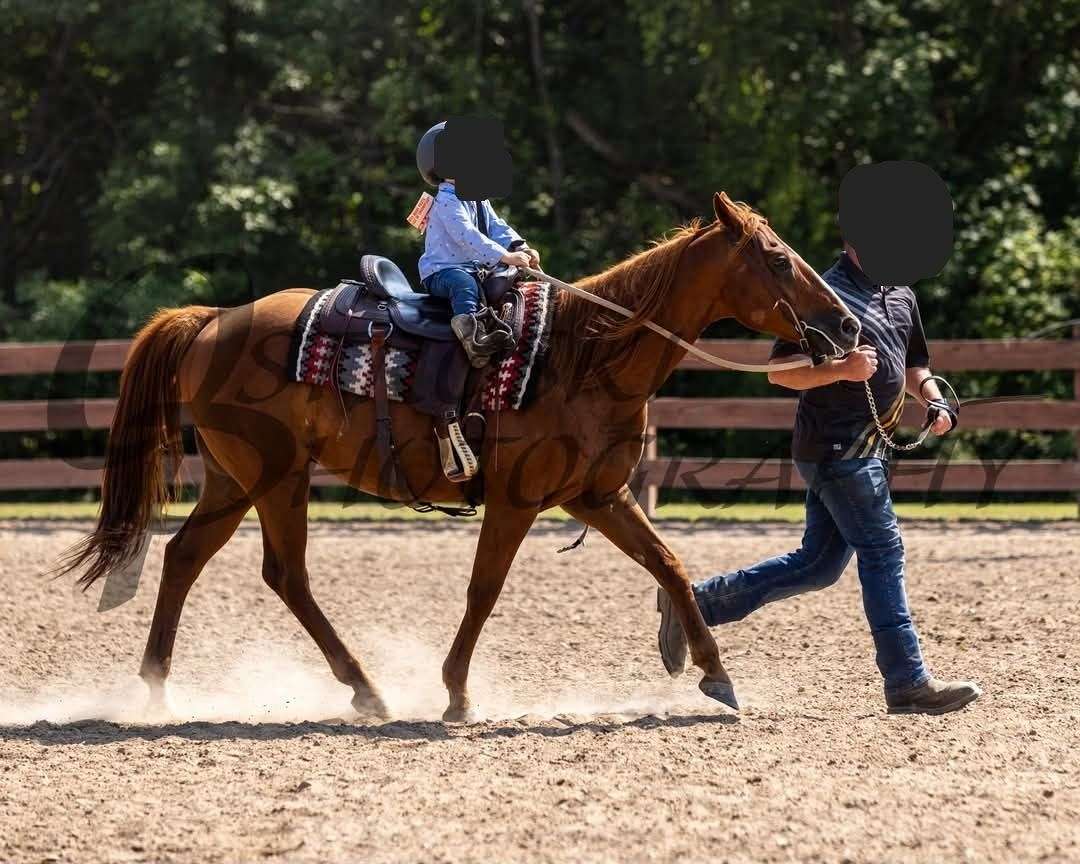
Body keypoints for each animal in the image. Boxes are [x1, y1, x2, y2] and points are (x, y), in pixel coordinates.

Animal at [58, 192, 859, 722]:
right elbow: (484, 590)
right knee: (283, 574)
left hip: (235, 481)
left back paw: (161, 687)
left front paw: (717, 676)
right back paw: (364, 688)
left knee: (188, 558)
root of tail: (212, 321)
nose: (847, 325)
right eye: (777, 259)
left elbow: (669, 564)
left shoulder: (599, 496)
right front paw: (455, 694)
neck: (583, 356)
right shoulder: (515, 501)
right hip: (274, 478)